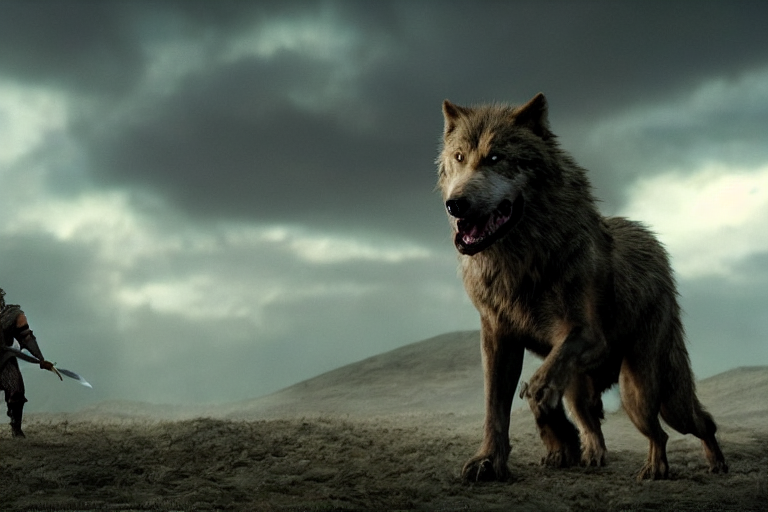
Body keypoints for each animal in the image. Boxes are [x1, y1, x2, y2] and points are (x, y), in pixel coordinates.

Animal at [436, 93, 728, 482]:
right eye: (459, 158)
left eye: (495, 157)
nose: (456, 204)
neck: (524, 262)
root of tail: (653, 244)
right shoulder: (498, 339)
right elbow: (497, 408)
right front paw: (492, 460)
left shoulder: (588, 335)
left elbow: (539, 386)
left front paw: (554, 432)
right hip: (588, 392)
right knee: (600, 425)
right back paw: (595, 456)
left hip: (647, 395)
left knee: (685, 427)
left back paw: (685, 466)